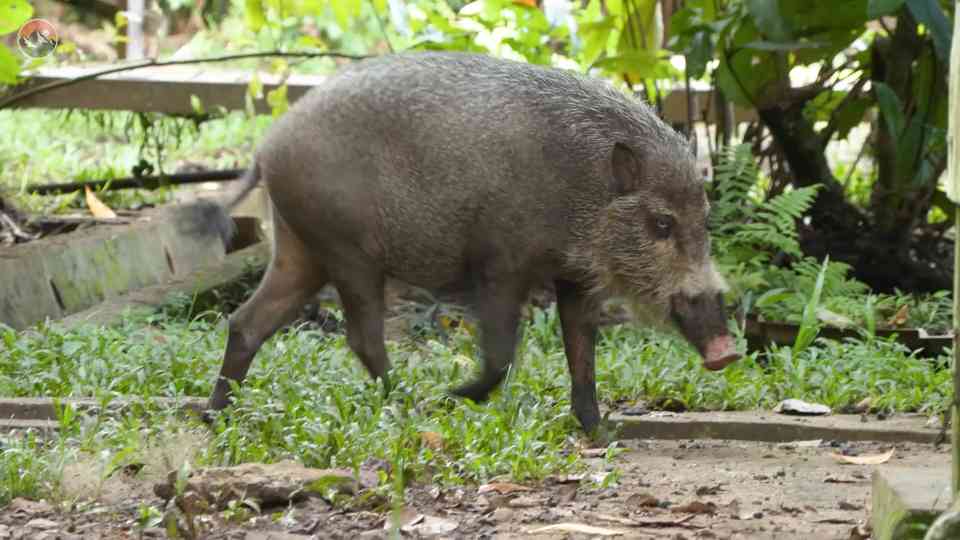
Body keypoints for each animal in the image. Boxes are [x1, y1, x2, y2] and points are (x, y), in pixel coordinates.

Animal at [204, 52, 739, 433]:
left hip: (301, 250)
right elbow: (502, 355)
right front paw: (456, 398)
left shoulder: (573, 276)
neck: (582, 189)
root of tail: (266, 149)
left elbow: (582, 353)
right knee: (361, 337)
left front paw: (600, 431)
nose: (728, 352)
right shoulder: (501, 263)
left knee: (246, 322)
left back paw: (215, 415)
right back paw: (411, 405)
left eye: (705, 219)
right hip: (347, 253)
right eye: (662, 224)